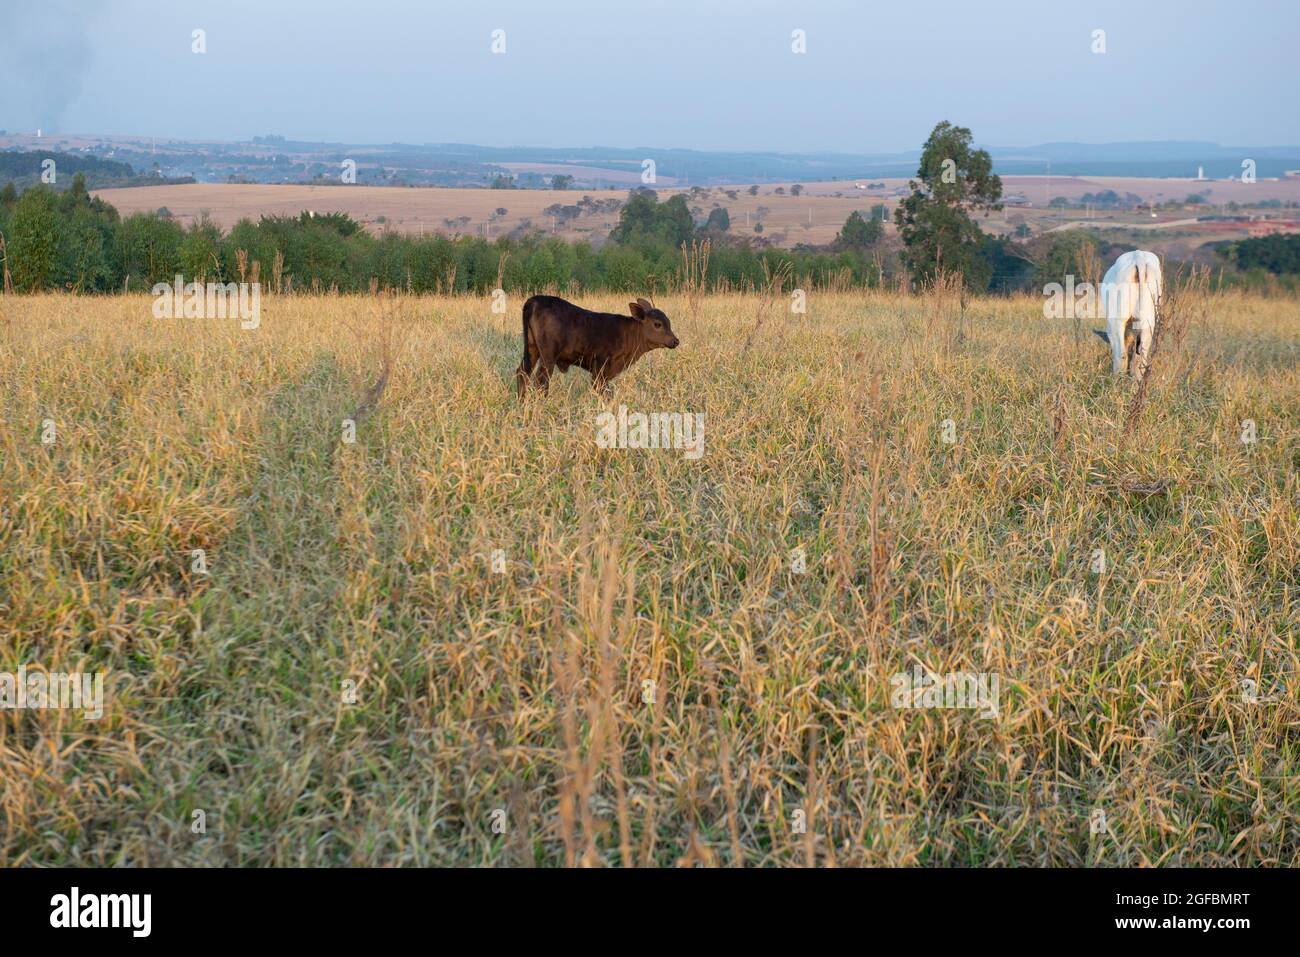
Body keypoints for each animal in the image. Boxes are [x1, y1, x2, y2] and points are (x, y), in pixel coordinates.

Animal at [515, 295, 679, 398]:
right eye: (657, 324)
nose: (675, 341)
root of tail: (533, 301)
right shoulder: (600, 367)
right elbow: (604, 391)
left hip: (532, 348)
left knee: (522, 372)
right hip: (548, 354)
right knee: (541, 380)